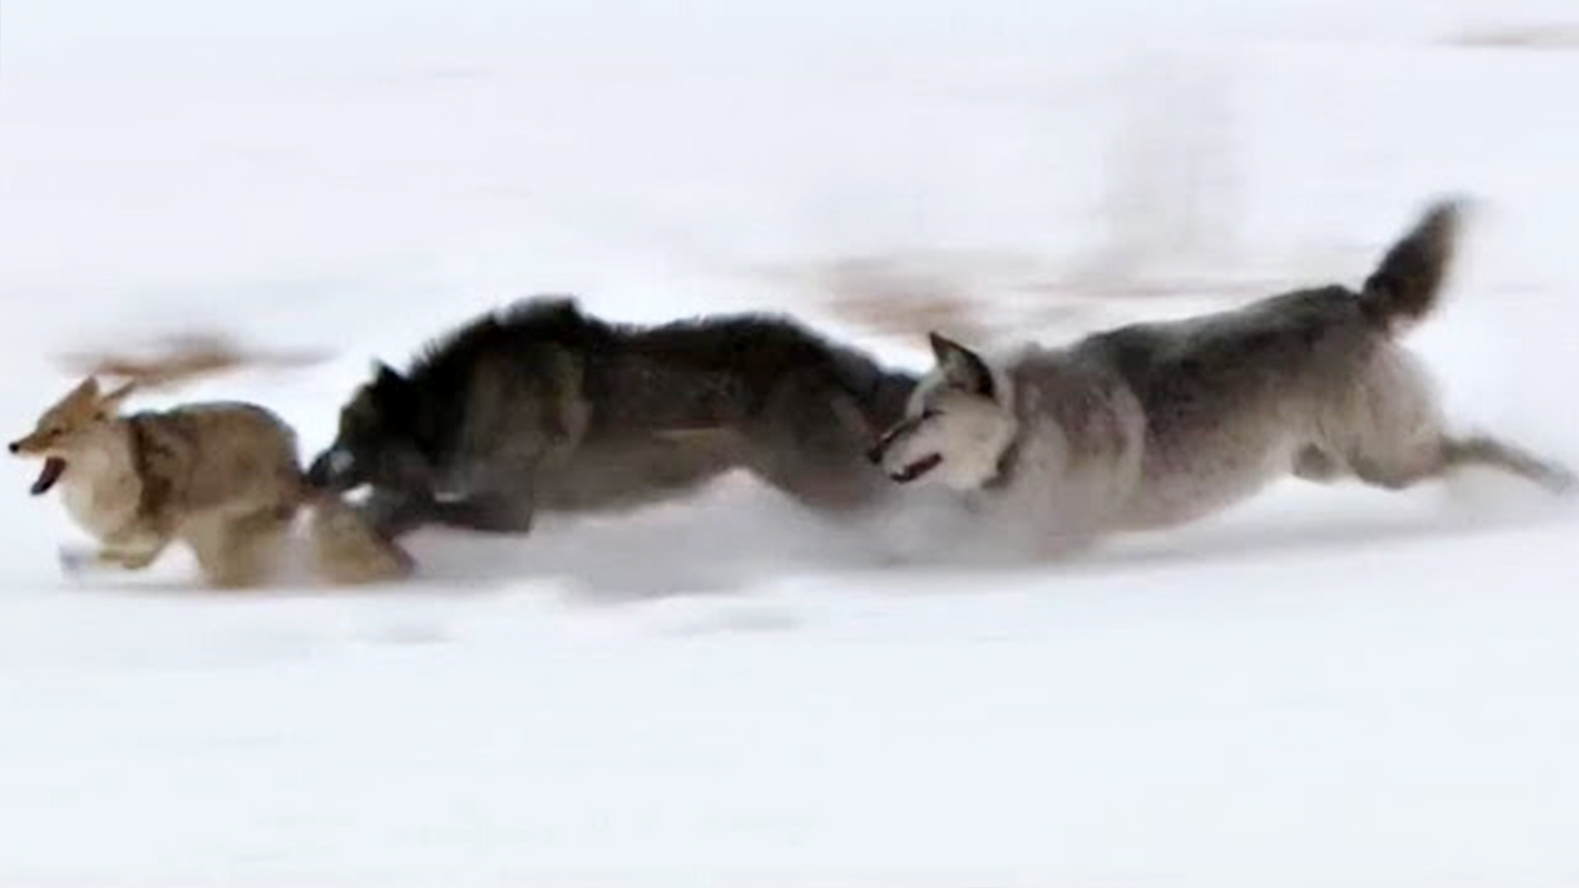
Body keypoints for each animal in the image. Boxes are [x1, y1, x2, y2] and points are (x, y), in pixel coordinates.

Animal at [10, 374, 414, 589]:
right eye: (37, 426)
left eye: (56, 431)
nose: (12, 445)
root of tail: (295, 465)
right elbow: (109, 554)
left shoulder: (152, 539)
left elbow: (113, 558)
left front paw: (76, 563)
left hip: (226, 542)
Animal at [305, 297, 918, 540]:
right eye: (337, 427)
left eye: (352, 434)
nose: (311, 473)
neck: (454, 407)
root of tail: (829, 358)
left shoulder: (510, 510)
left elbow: (419, 506)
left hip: (826, 484)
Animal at [869, 199, 1575, 557]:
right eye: (905, 412)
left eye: (928, 415)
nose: (872, 454)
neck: (1024, 429)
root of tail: (1352, 300)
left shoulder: (1050, 536)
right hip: (1329, 463)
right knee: (1460, 446)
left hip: (1384, 461)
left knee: (1476, 443)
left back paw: (1548, 485)